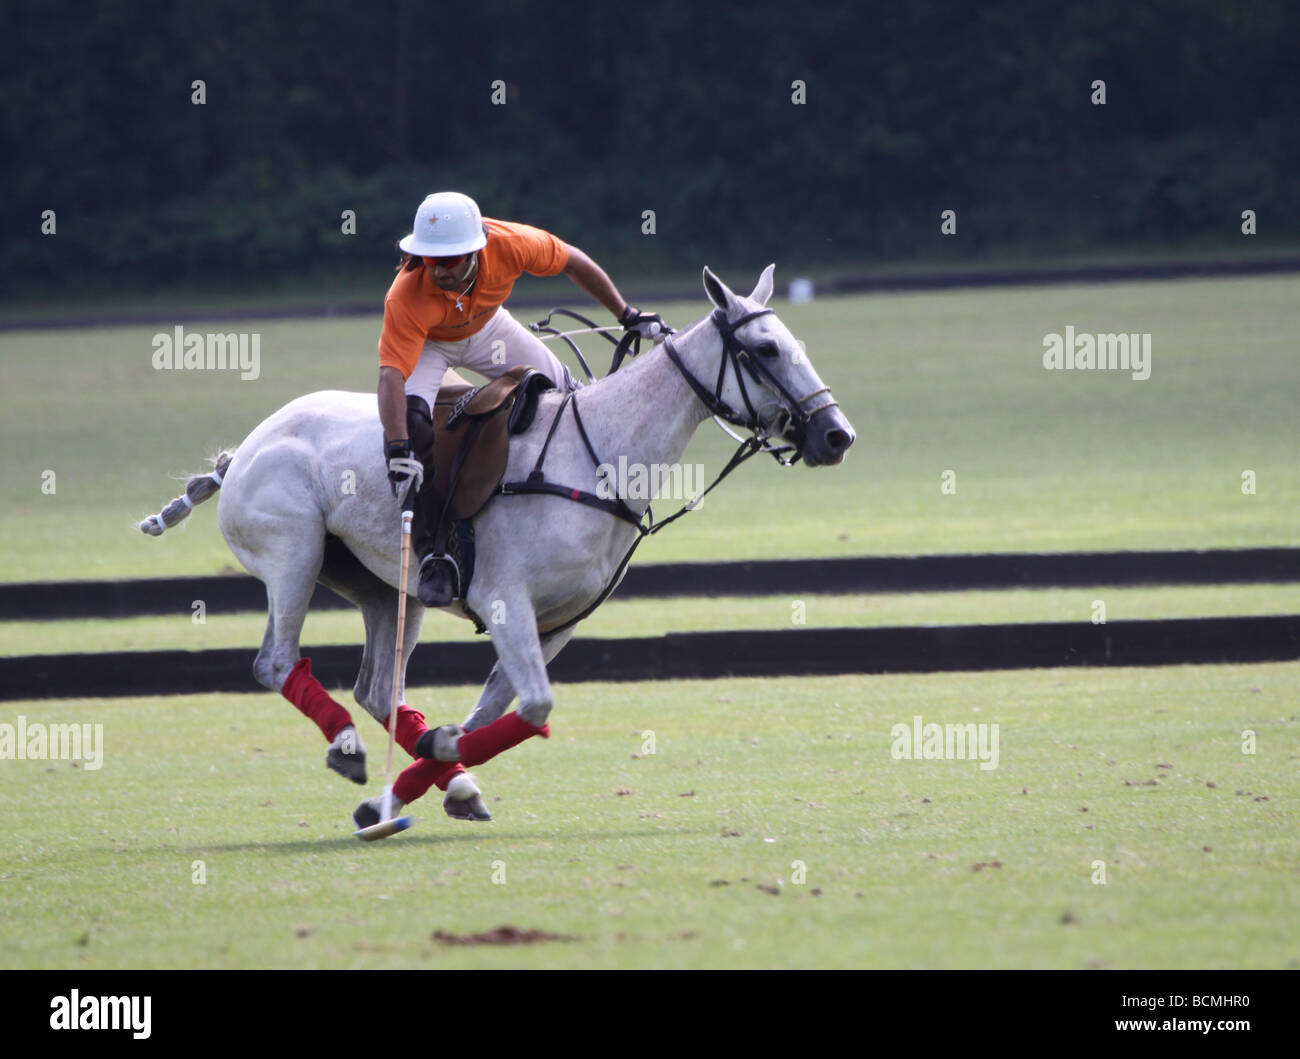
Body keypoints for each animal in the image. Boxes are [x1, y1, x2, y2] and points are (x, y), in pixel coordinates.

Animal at [140, 265, 856, 827]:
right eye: (765, 349)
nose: (836, 435)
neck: (601, 453)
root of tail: (243, 450)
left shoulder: (559, 621)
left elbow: (494, 712)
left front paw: (413, 788)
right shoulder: (506, 599)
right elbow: (533, 708)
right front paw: (436, 760)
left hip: (387, 588)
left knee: (377, 687)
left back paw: (425, 772)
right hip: (295, 552)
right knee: (278, 661)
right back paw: (347, 746)